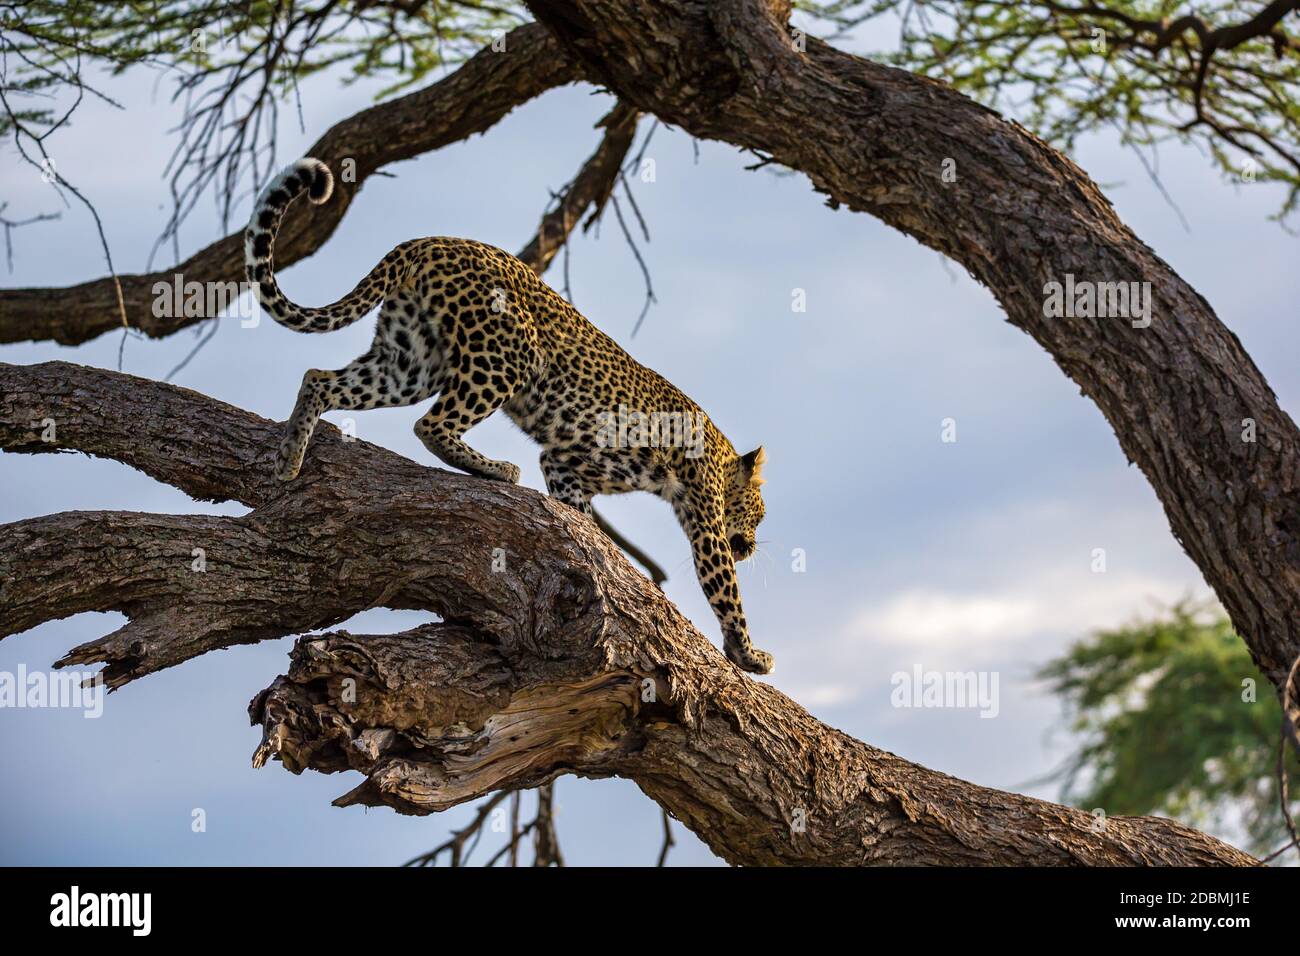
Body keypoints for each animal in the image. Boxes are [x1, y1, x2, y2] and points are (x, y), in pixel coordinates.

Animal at [244, 157, 774, 674]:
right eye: (759, 514)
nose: (751, 546)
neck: (720, 454)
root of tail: (428, 240)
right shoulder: (704, 518)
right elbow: (725, 587)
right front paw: (749, 654)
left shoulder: (565, 461)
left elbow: (578, 515)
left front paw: (597, 555)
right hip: (505, 355)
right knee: (430, 424)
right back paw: (497, 469)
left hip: (409, 361)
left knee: (320, 378)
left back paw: (290, 454)